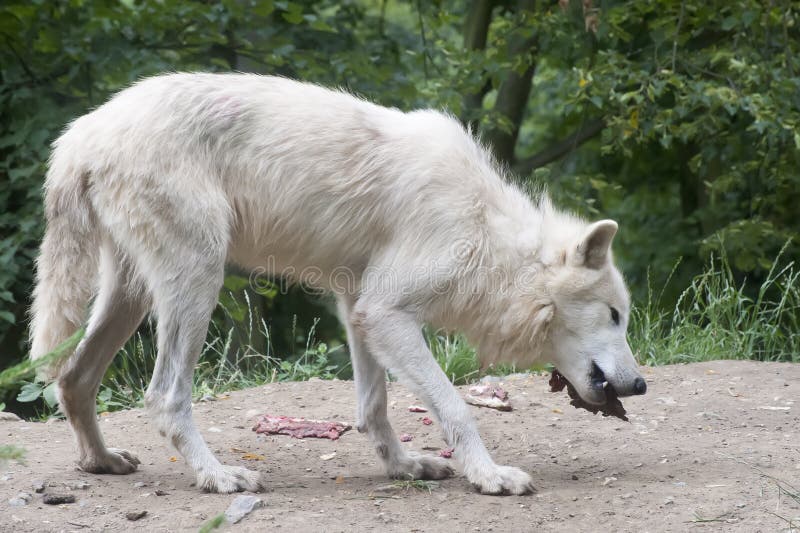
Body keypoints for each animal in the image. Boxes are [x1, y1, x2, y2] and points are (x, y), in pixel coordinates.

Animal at [30, 73, 646, 495]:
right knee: (163, 397)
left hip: (130, 294)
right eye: (614, 315)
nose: (640, 385)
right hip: (197, 282)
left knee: (74, 378)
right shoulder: (388, 313)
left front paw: (403, 468)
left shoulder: (359, 309)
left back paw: (101, 462)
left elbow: (374, 406)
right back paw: (217, 476)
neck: (489, 237)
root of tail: (82, 133)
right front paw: (490, 475)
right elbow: (455, 406)